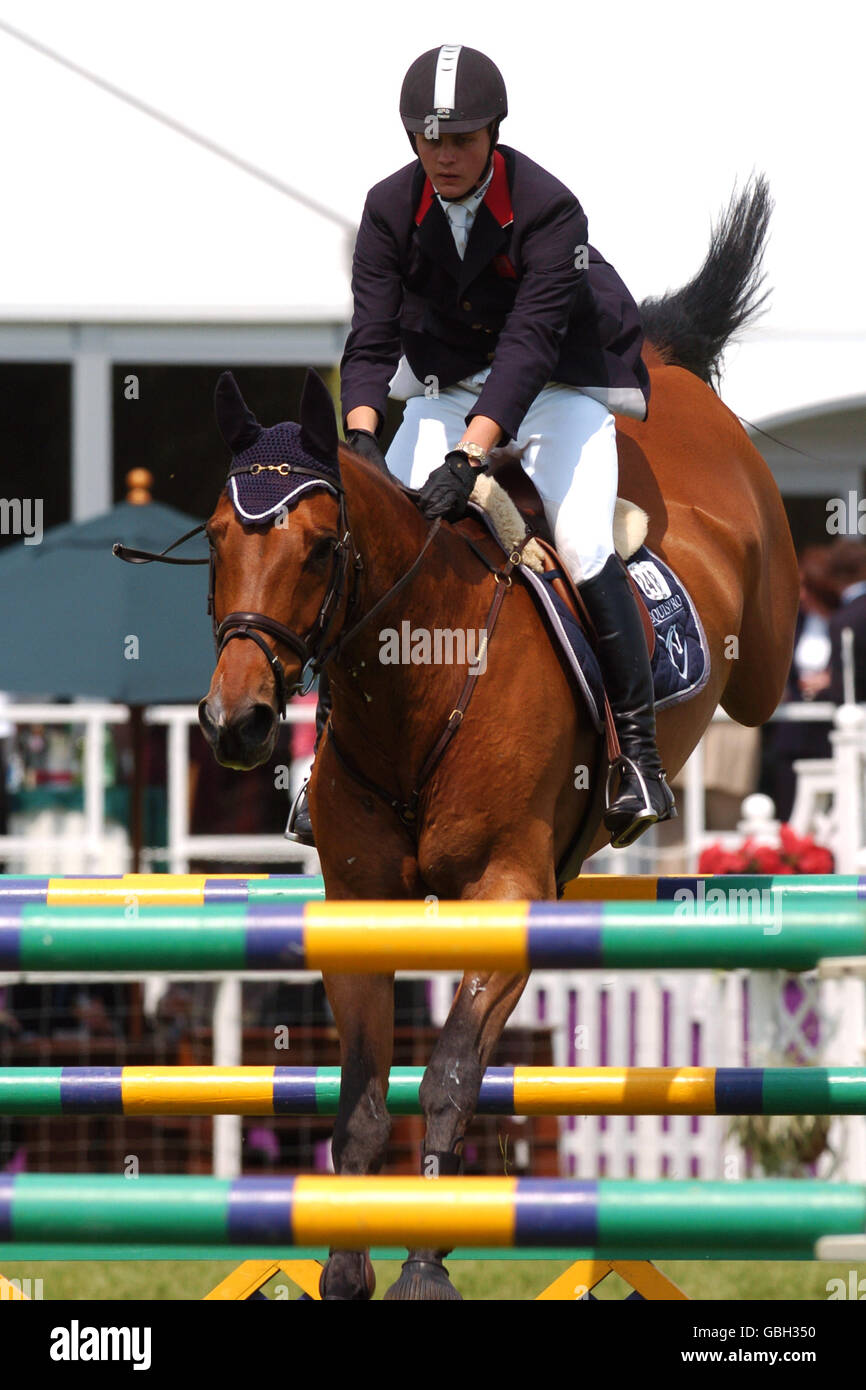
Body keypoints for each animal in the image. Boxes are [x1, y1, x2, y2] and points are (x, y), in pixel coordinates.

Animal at [196, 180, 798, 1299]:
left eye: (320, 546)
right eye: (215, 537)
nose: (238, 721)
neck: (415, 686)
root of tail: (661, 364)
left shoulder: (506, 893)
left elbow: (447, 1077)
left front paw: (426, 1270)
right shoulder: (360, 906)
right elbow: (359, 1104)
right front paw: (347, 1270)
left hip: (768, 643)